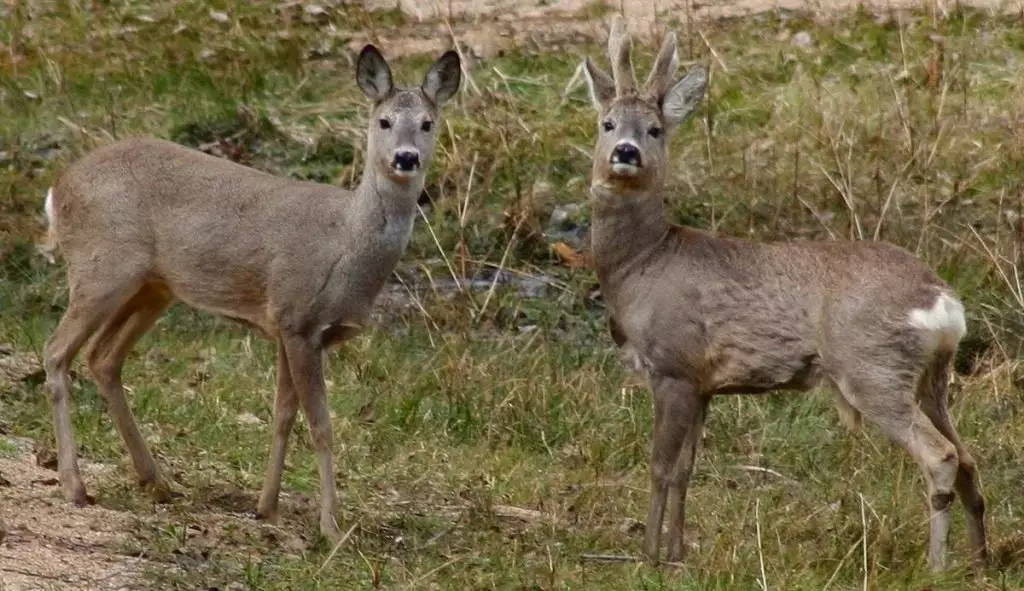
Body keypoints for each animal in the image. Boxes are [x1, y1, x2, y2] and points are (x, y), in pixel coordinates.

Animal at [41, 43, 462, 540]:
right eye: (383, 121)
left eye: (428, 123)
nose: (406, 158)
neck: (345, 245)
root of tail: (57, 189)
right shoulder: (298, 319)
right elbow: (320, 424)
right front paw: (331, 525)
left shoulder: (287, 327)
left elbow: (283, 416)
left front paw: (267, 507)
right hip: (100, 268)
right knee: (56, 352)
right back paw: (75, 486)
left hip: (152, 287)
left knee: (103, 358)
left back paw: (156, 481)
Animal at [581, 17, 987, 573]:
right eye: (606, 123)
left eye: (654, 129)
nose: (626, 153)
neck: (643, 264)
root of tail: (942, 301)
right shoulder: (704, 384)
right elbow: (687, 469)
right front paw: (679, 554)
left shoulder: (674, 367)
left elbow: (660, 468)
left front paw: (648, 559)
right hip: (931, 377)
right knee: (967, 456)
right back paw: (983, 560)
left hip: (872, 366)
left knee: (942, 456)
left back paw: (936, 566)